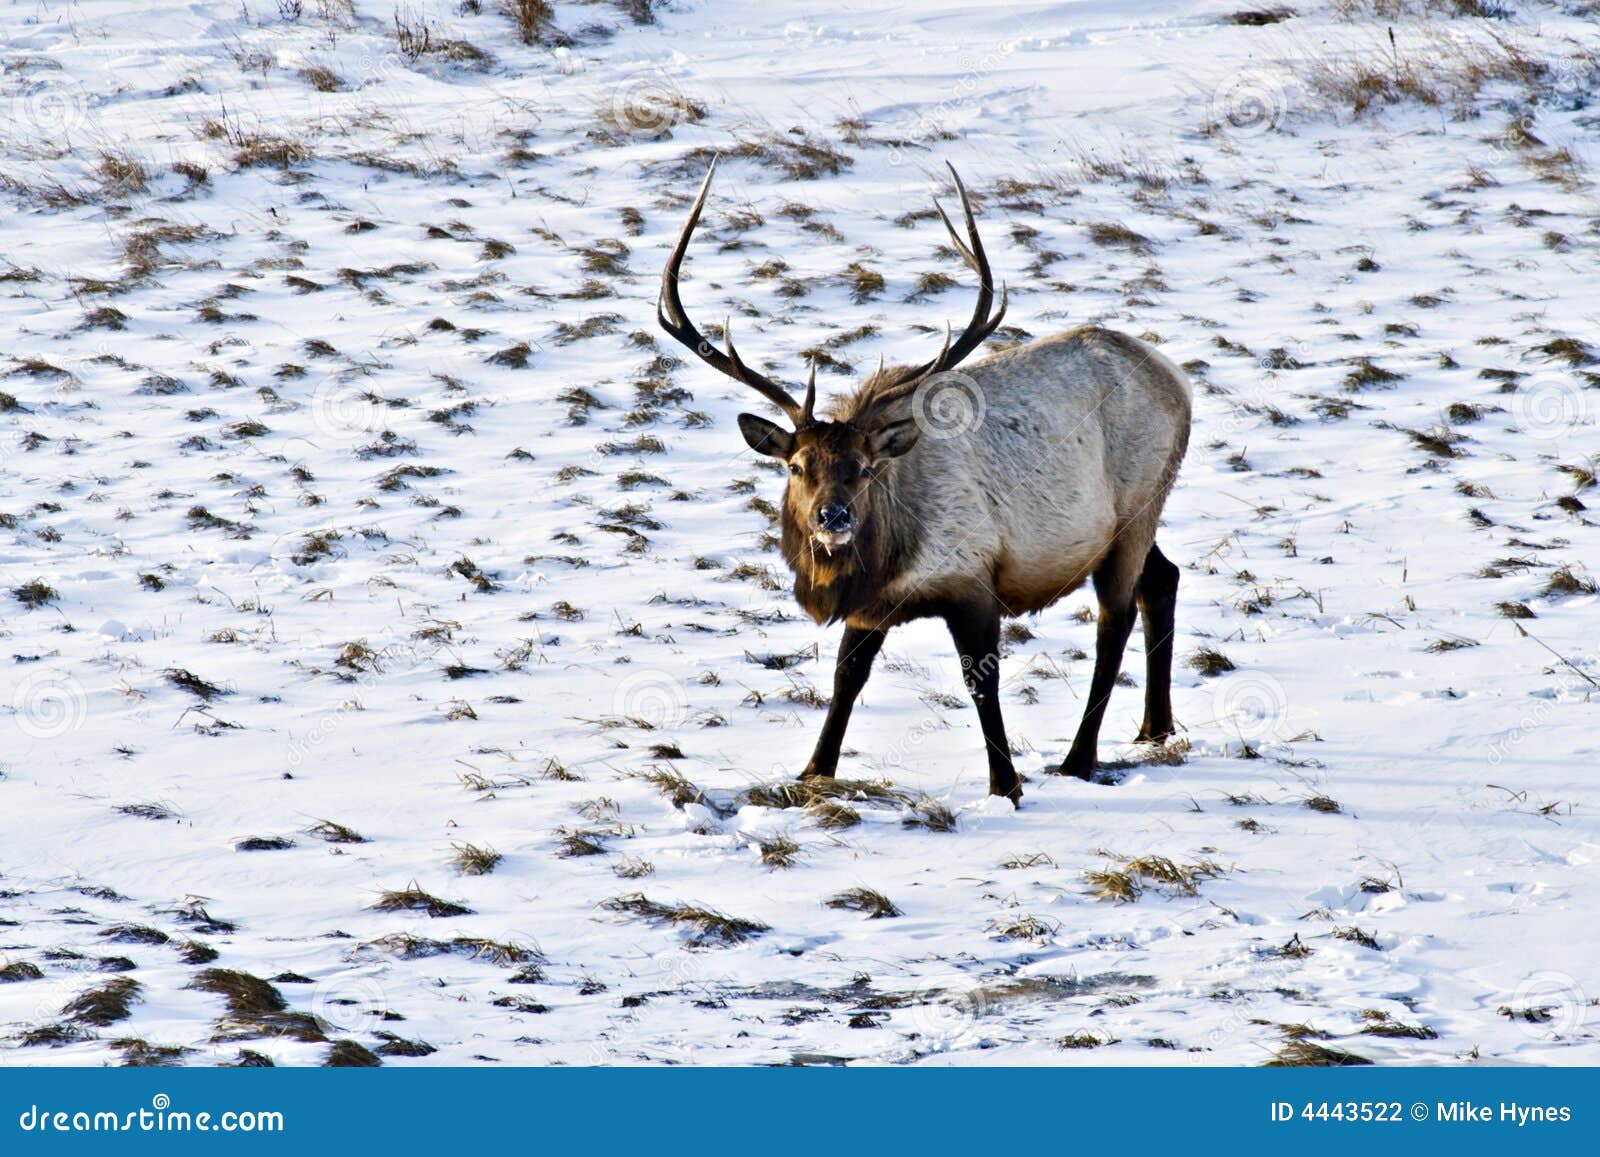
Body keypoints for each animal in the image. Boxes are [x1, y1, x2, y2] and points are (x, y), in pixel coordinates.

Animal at [658, 160, 1191, 804]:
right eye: (796, 466)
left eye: (865, 469)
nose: (833, 519)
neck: (891, 551)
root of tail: (1179, 380)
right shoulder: (871, 607)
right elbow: (846, 678)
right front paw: (813, 771)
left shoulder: (974, 580)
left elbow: (981, 684)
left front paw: (1005, 784)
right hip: (1134, 523)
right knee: (1162, 578)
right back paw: (1154, 728)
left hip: (1138, 509)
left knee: (1114, 620)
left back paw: (1079, 759)